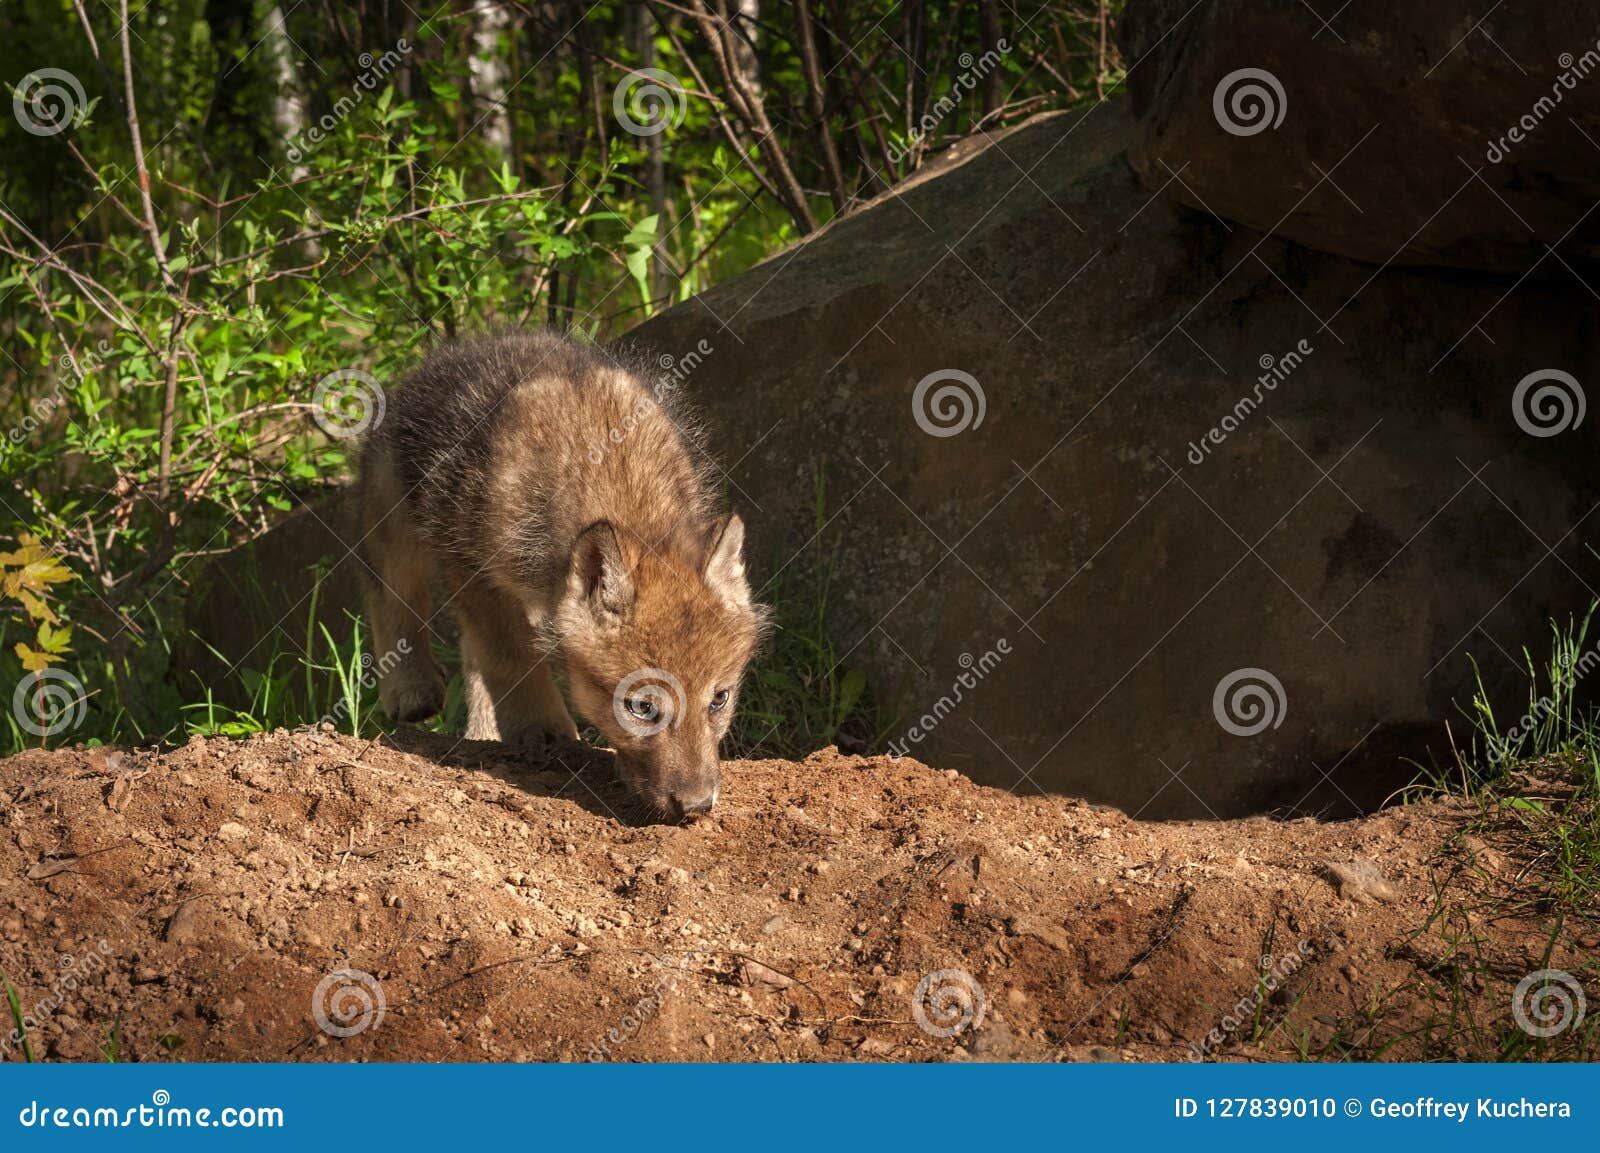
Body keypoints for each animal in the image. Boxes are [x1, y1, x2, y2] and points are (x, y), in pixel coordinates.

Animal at [355, 332, 767, 819]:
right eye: (642, 707)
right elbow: (509, 656)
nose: (697, 806)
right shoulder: (472, 566)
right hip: (393, 516)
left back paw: (481, 733)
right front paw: (541, 728)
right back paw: (411, 690)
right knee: (391, 594)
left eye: (719, 699)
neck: (613, 479)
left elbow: (490, 656)